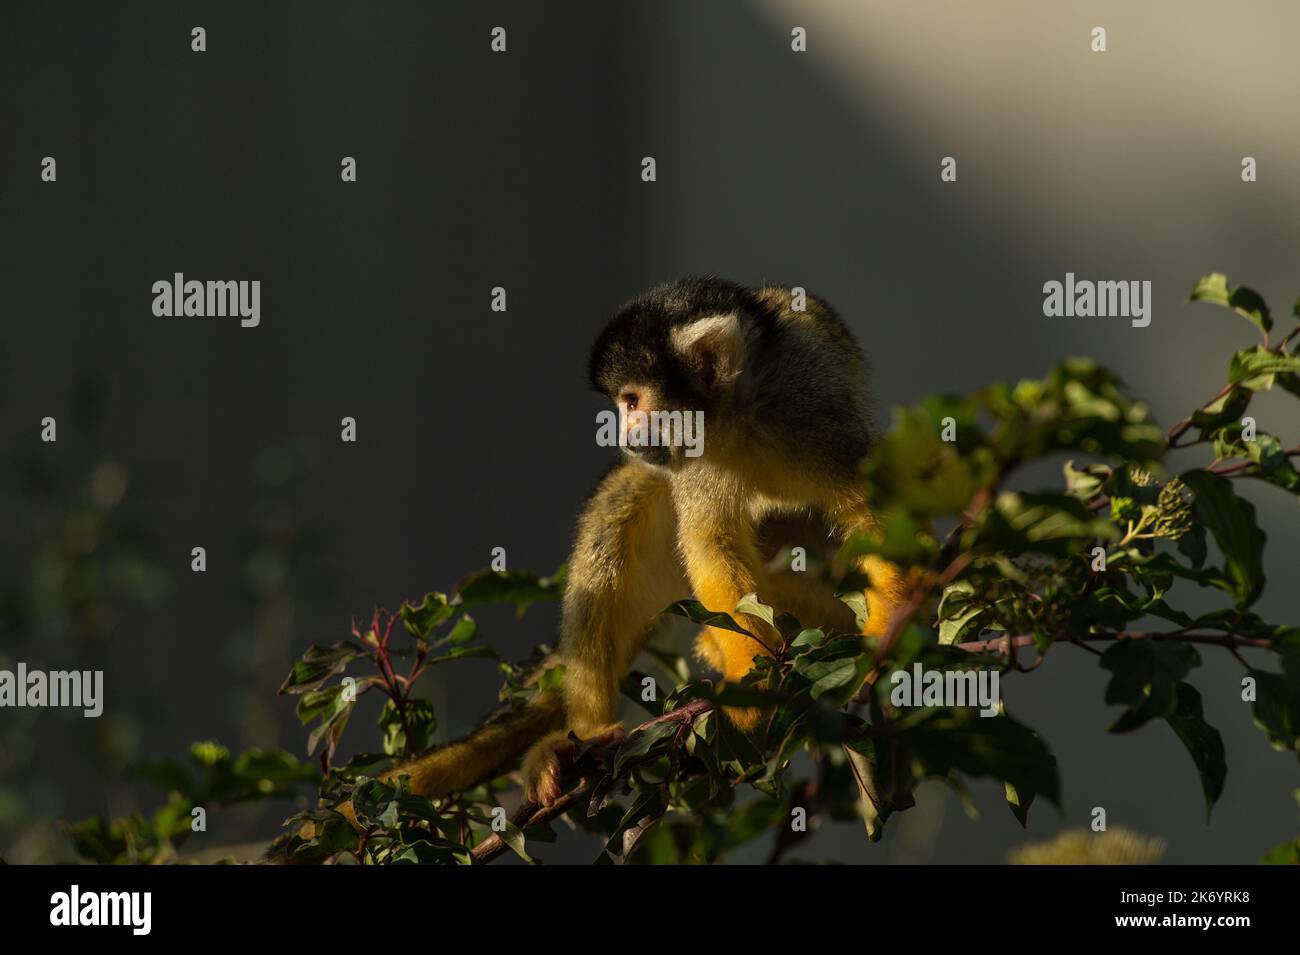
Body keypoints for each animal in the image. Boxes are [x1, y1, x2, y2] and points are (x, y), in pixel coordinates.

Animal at [361, 277, 906, 813]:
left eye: (630, 401)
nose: (620, 434)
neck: (742, 415)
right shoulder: (693, 457)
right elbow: (712, 543)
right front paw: (747, 678)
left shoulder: (820, 411)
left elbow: (869, 512)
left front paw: (886, 630)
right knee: (619, 507)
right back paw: (584, 736)